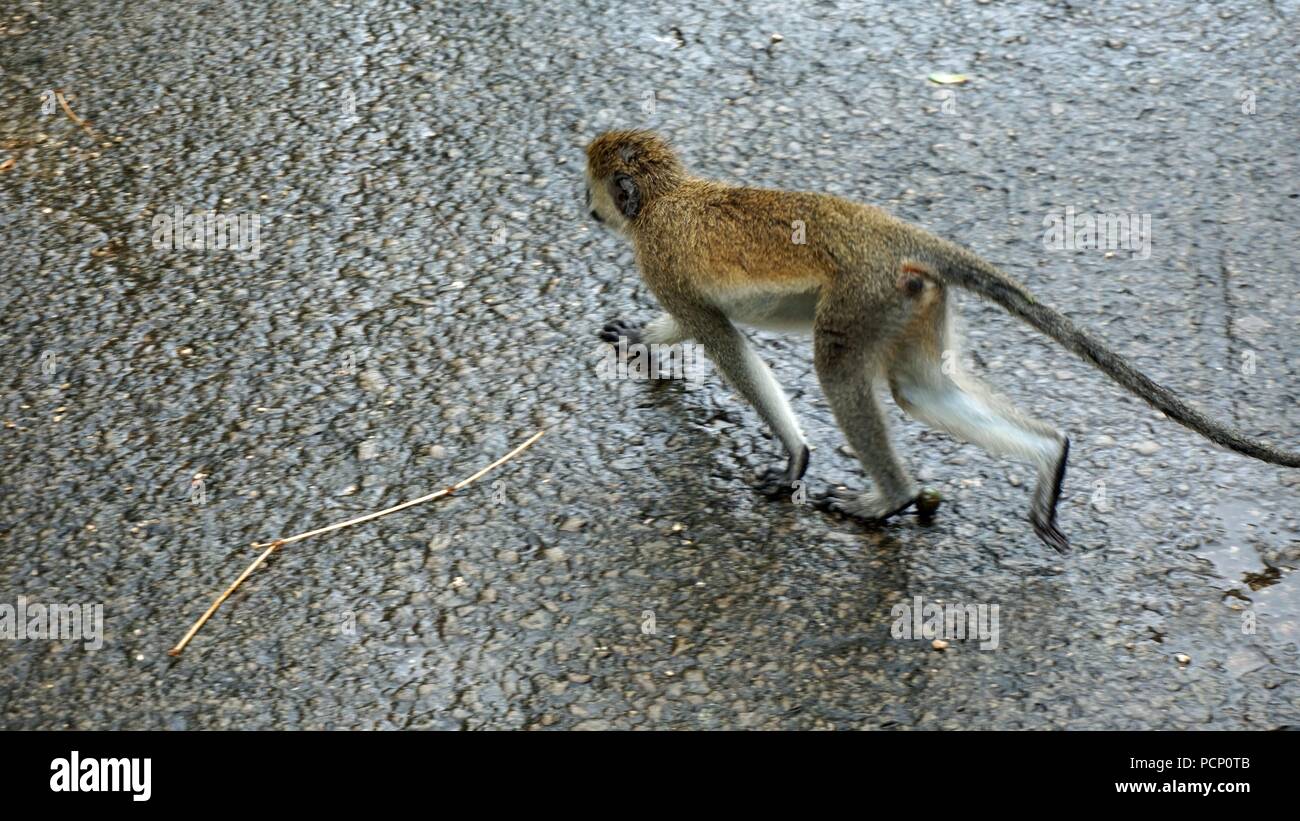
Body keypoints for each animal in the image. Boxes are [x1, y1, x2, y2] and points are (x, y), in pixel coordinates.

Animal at [584, 129, 1300, 552]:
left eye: (595, 193)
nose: (588, 210)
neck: (666, 200)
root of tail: (890, 233)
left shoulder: (660, 259)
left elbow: (719, 338)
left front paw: (794, 460)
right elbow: (698, 326)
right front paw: (638, 335)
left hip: (865, 296)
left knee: (838, 370)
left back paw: (890, 499)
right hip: (912, 301)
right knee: (917, 390)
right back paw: (1050, 456)